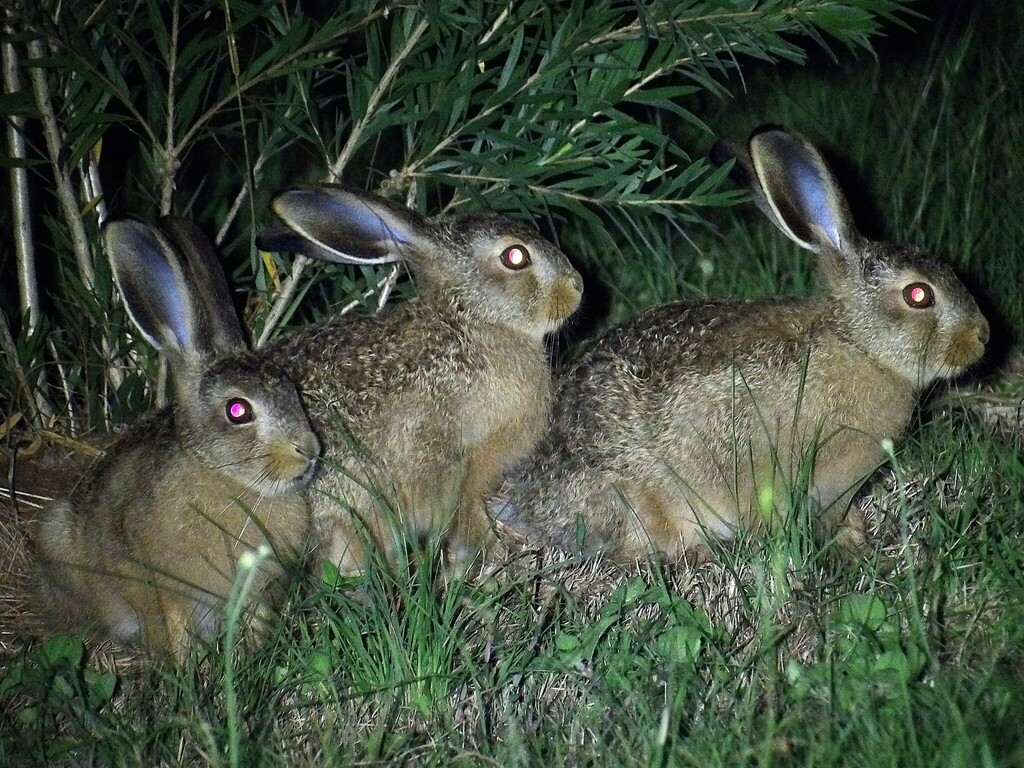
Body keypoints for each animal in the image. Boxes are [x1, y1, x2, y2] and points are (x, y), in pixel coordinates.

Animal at [32, 217, 320, 660]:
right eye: (238, 411)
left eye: (292, 392)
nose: (310, 450)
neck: (222, 476)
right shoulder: (163, 593)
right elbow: (174, 632)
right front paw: (186, 670)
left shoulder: (256, 595)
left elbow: (254, 626)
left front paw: (251, 656)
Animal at [257, 185, 583, 574]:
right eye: (515, 256)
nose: (578, 285)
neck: (471, 320)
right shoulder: (451, 458)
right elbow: (462, 511)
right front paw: (485, 554)